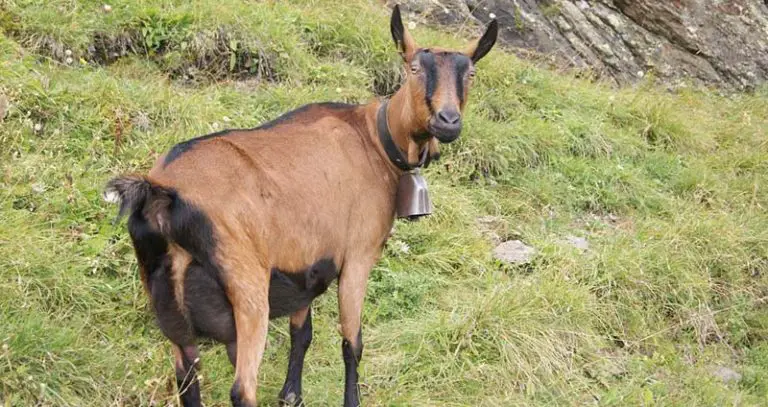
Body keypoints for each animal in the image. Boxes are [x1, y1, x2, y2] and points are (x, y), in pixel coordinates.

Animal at [104, 5, 497, 407]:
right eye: (413, 67)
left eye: (471, 73)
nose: (448, 121)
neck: (373, 140)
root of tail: (159, 194)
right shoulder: (358, 255)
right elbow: (352, 343)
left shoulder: (305, 265)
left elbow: (302, 333)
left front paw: (291, 393)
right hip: (247, 288)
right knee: (241, 388)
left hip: (169, 302)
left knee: (187, 377)